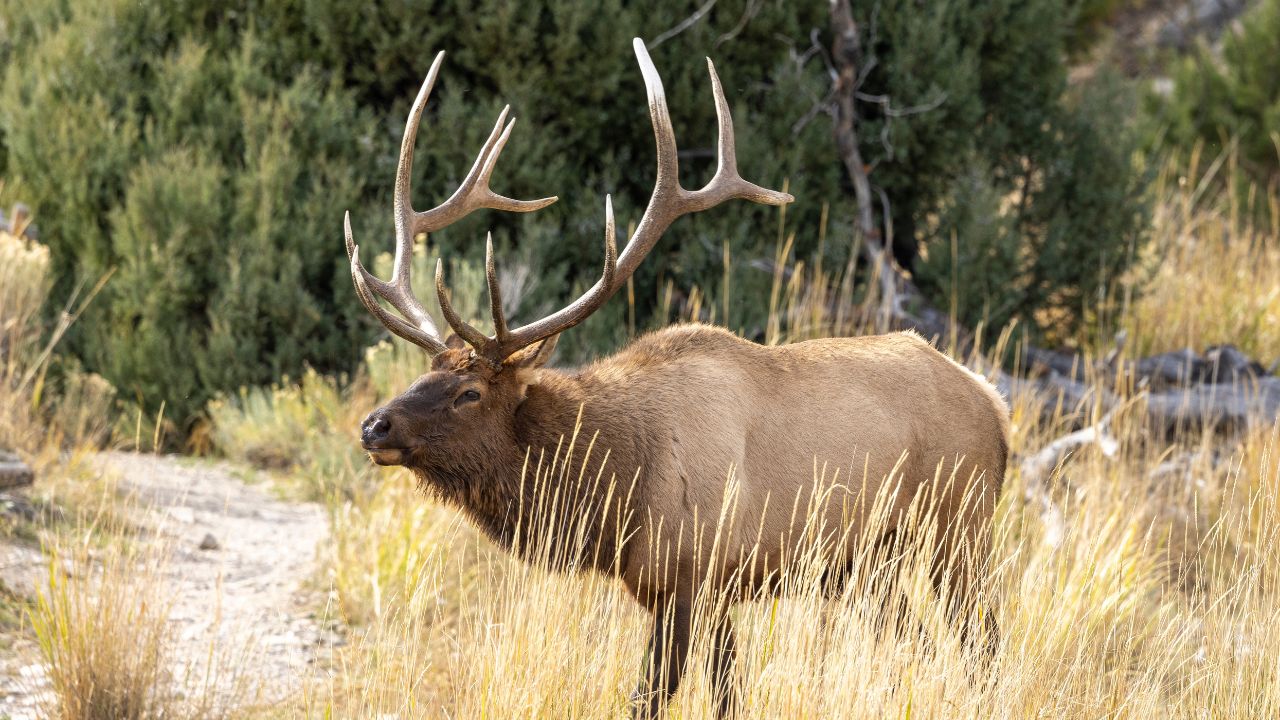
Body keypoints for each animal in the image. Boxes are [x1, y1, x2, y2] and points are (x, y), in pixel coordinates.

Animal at [344, 38, 1010, 719]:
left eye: (469, 392)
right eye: (426, 371)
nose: (375, 426)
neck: (616, 488)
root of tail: (994, 403)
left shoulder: (690, 579)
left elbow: (650, 698)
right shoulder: (706, 593)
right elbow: (726, 693)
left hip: (960, 532)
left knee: (982, 645)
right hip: (868, 567)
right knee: (925, 640)